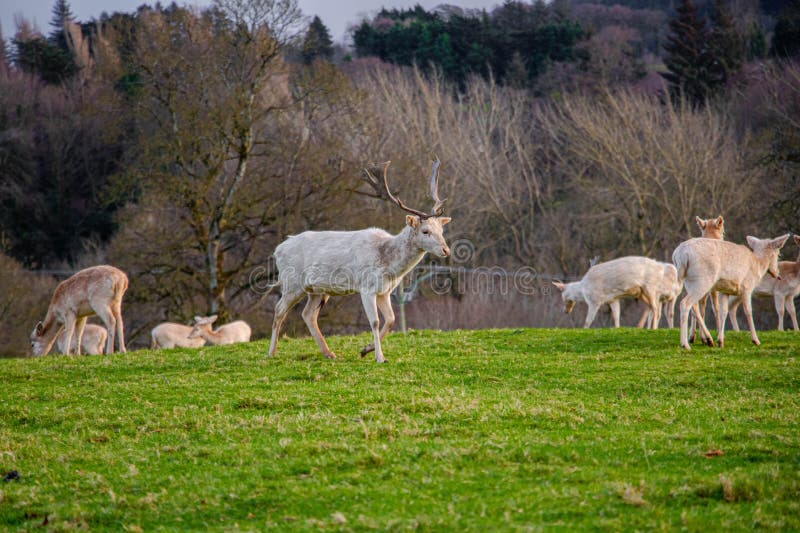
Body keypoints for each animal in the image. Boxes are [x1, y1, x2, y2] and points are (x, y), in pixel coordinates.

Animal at [266, 159, 451, 363]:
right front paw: (379, 357)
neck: (388, 264)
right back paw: (271, 352)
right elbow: (375, 321)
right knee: (279, 310)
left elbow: (391, 319)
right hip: (292, 282)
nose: (446, 250)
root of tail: (278, 250)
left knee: (307, 314)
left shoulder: (384, 291)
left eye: (441, 230)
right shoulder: (366, 287)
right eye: (425, 231)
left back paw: (329, 353)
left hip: (318, 290)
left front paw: (365, 350)